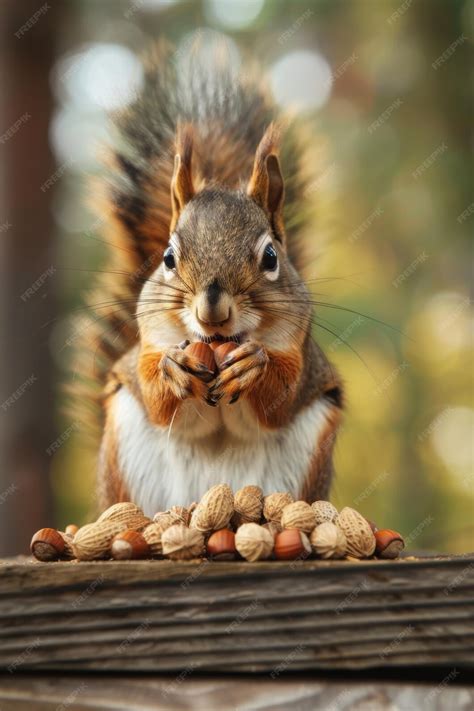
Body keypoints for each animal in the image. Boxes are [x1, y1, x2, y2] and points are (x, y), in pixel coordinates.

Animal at [71, 41, 343, 516]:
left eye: (271, 256)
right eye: (167, 258)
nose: (211, 310)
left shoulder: (300, 349)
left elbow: (282, 396)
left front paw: (255, 365)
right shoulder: (150, 338)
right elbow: (156, 395)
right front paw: (172, 368)